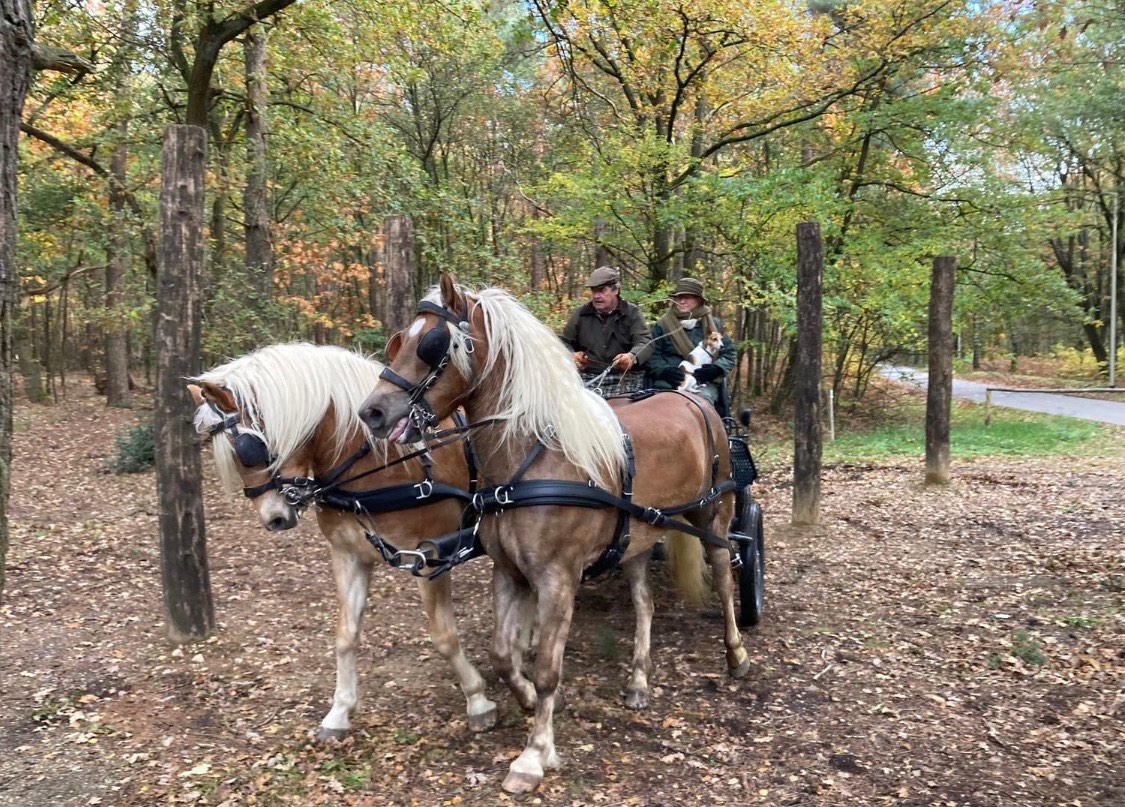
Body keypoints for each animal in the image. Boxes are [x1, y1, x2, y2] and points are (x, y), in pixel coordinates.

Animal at [188, 342, 498, 739]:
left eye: (246, 449)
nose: (274, 518)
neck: (385, 463)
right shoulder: (349, 554)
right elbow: (346, 634)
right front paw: (339, 710)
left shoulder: (432, 557)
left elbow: (444, 636)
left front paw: (477, 699)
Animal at [358, 276, 750, 793]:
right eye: (400, 340)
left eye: (433, 344)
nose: (372, 412)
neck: (532, 457)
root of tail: (694, 398)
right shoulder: (509, 573)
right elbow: (503, 655)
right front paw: (527, 700)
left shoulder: (557, 580)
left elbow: (547, 668)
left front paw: (534, 754)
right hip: (639, 537)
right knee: (644, 604)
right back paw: (639, 681)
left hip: (714, 514)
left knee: (724, 578)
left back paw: (737, 653)